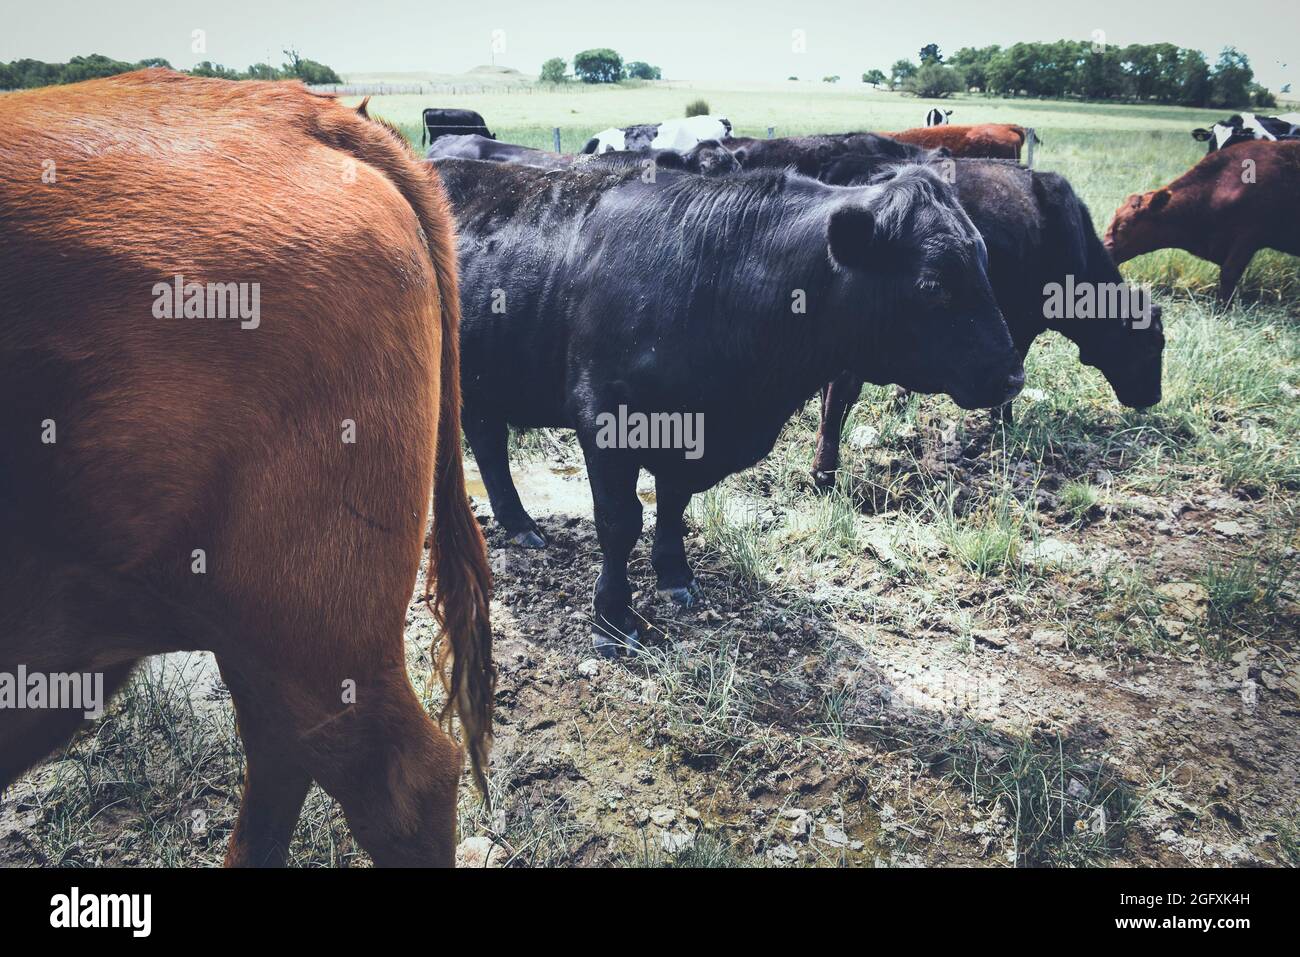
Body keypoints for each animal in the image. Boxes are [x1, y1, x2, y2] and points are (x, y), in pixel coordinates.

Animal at [432, 157, 1023, 655]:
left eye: (984, 263)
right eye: (933, 285)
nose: (1012, 376)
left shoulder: (692, 434)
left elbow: (672, 504)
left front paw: (674, 576)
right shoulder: (604, 417)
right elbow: (620, 520)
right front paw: (612, 619)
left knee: (487, 440)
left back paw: (519, 524)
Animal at [809, 156, 1164, 488]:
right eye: (1151, 346)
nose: (1154, 397)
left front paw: (899, 403)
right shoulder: (1022, 325)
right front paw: (1004, 421)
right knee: (841, 391)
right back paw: (825, 470)